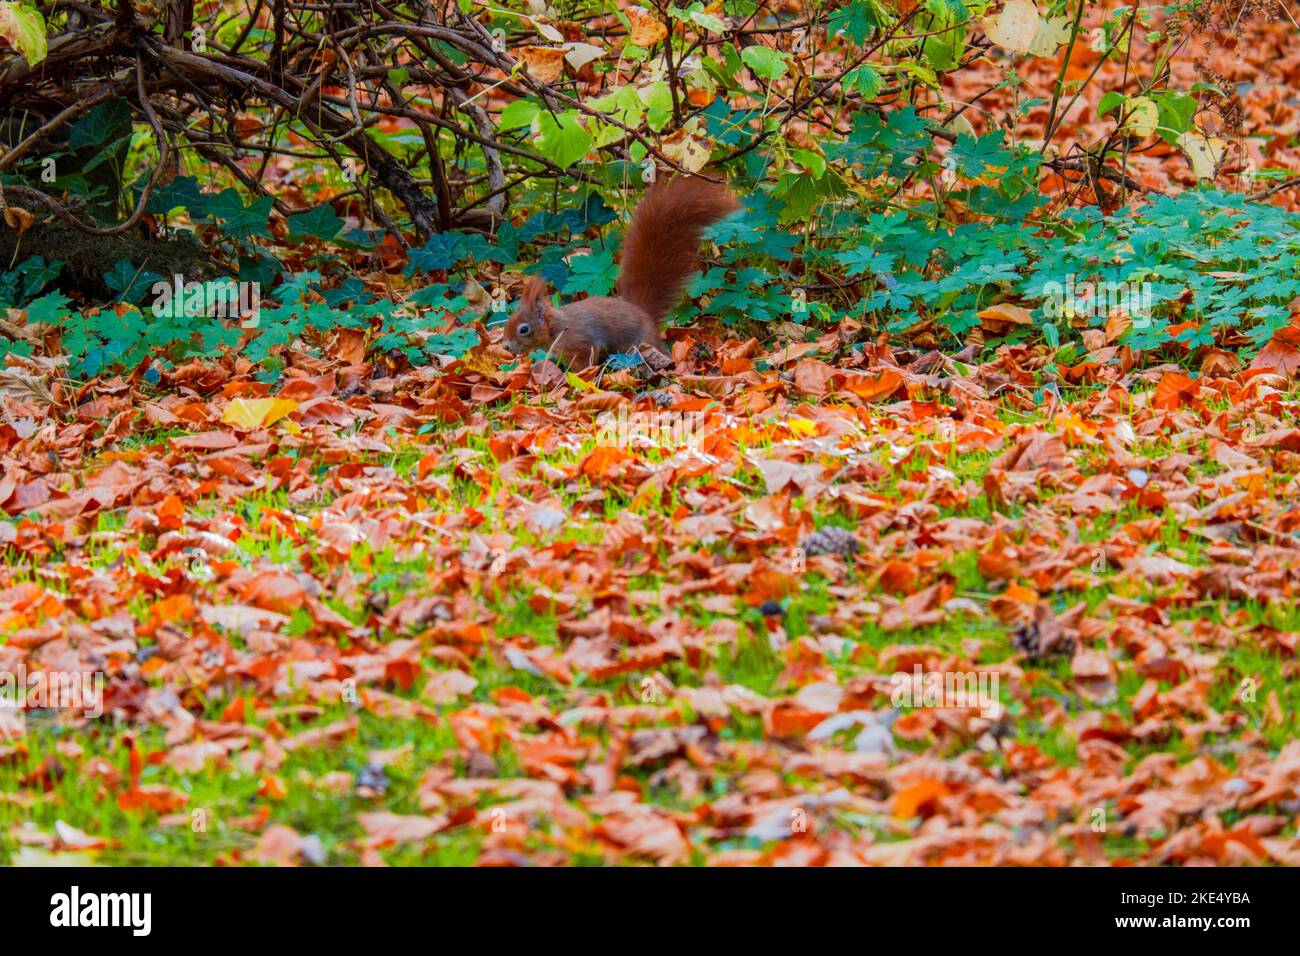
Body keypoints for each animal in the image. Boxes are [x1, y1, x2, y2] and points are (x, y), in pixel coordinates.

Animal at [502, 175, 739, 367]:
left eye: (524, 329)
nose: (505, 347)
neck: (556, 328)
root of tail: (644, 314)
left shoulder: (580, 342)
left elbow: (583, 363)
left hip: (639, 342)